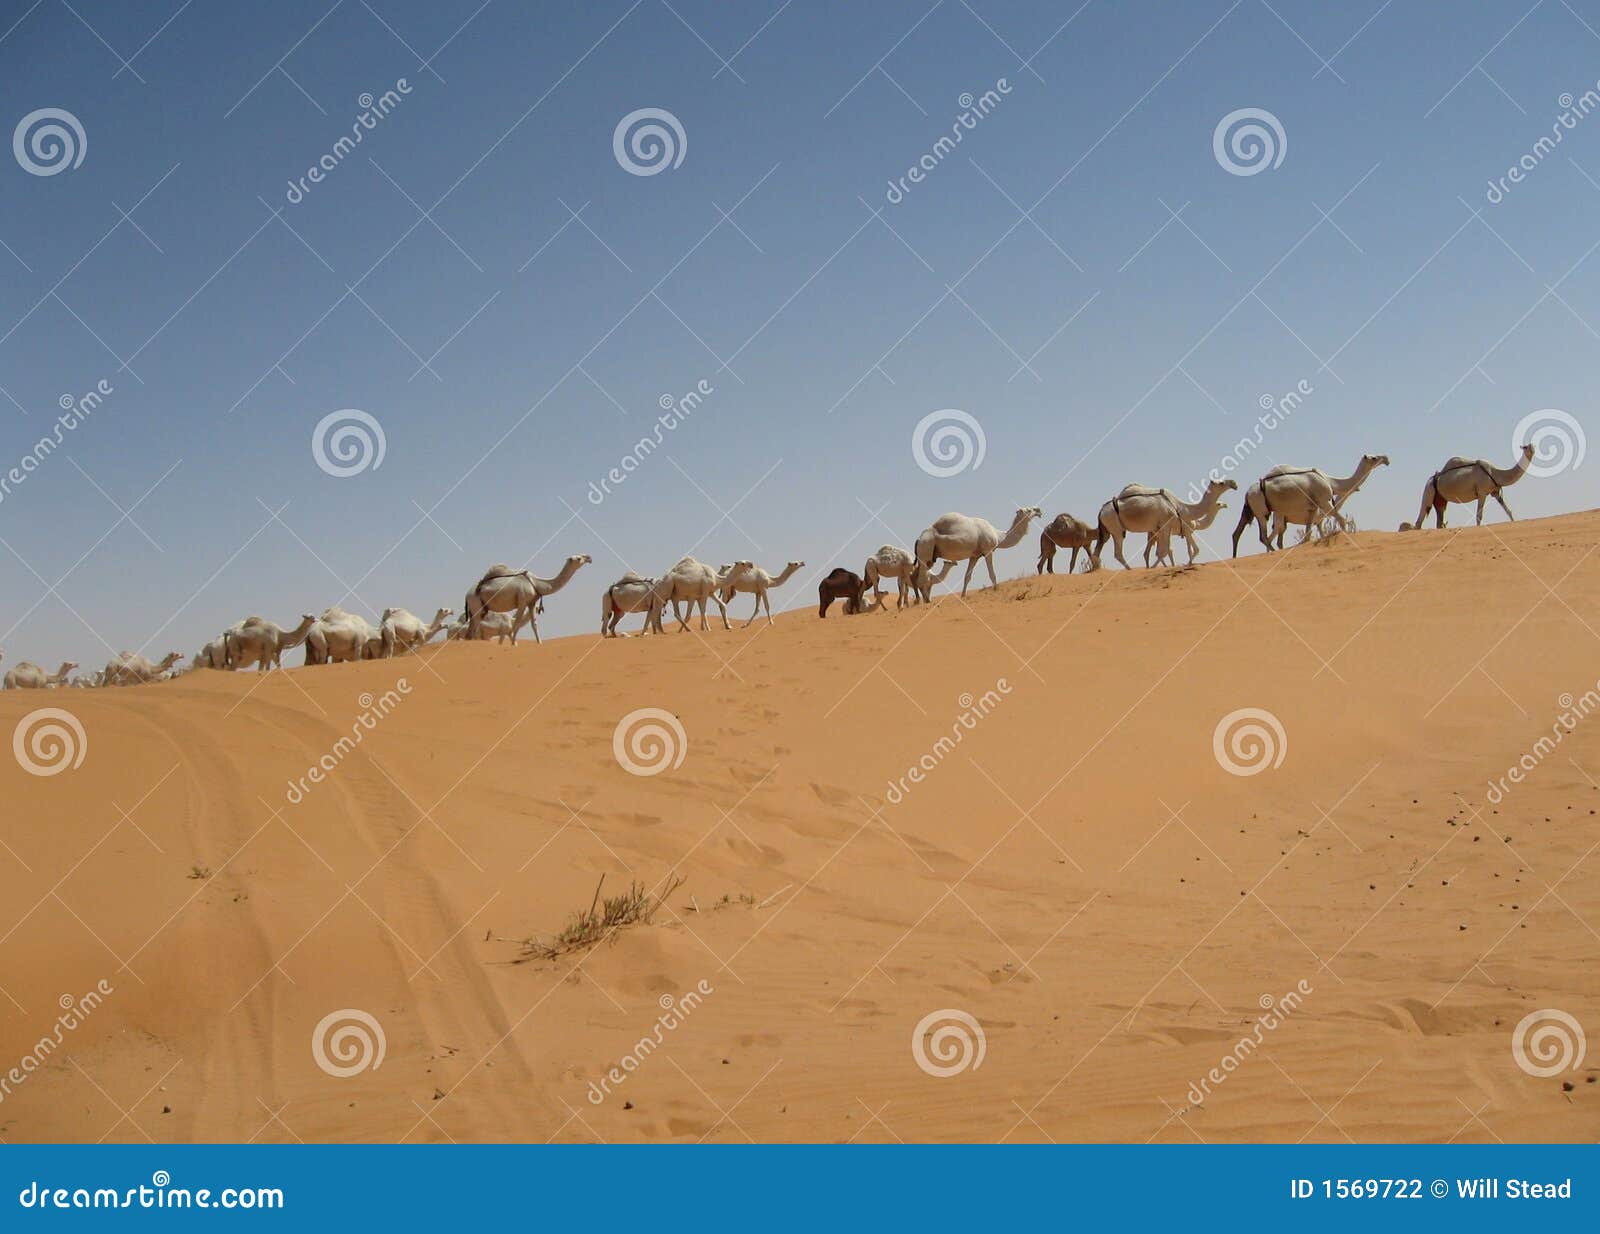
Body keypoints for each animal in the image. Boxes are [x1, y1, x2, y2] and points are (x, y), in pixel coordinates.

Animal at [914, 507, 1044, 597]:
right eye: (1028, 510)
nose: (1039, 510)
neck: (998, 536)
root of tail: (919, 539)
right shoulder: (988, 551)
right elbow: (992, 574)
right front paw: (996, 590)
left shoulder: (974, 556)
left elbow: (967, 576)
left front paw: (963, 595)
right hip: (926, 549)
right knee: (921, 579)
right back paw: (925, 601)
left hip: (930, 557)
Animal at [1092, 480, 1236, 569]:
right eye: (1221, 482)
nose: (1234, 483)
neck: (1183, 509)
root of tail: (1101, 511)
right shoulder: (1172, 527)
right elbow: (1167, 551)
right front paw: (1156, 568)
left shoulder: (1165, 529)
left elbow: (1168, 550)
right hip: (1115, 526)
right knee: (1118, 553)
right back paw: (1130, 569)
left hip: (1107, 530)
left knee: (1098, 550)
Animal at [1231, 455, 1390, 556]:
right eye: (1374, 458)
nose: (1386, 458)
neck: (1331, 482)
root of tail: (1247, 492)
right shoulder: (1324, 502)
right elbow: (1341, 520)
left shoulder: (1313, 509)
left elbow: (1310, 535)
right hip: (1260, 507)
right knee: (1264, 537)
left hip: (1262, 511)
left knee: (1245, 534)